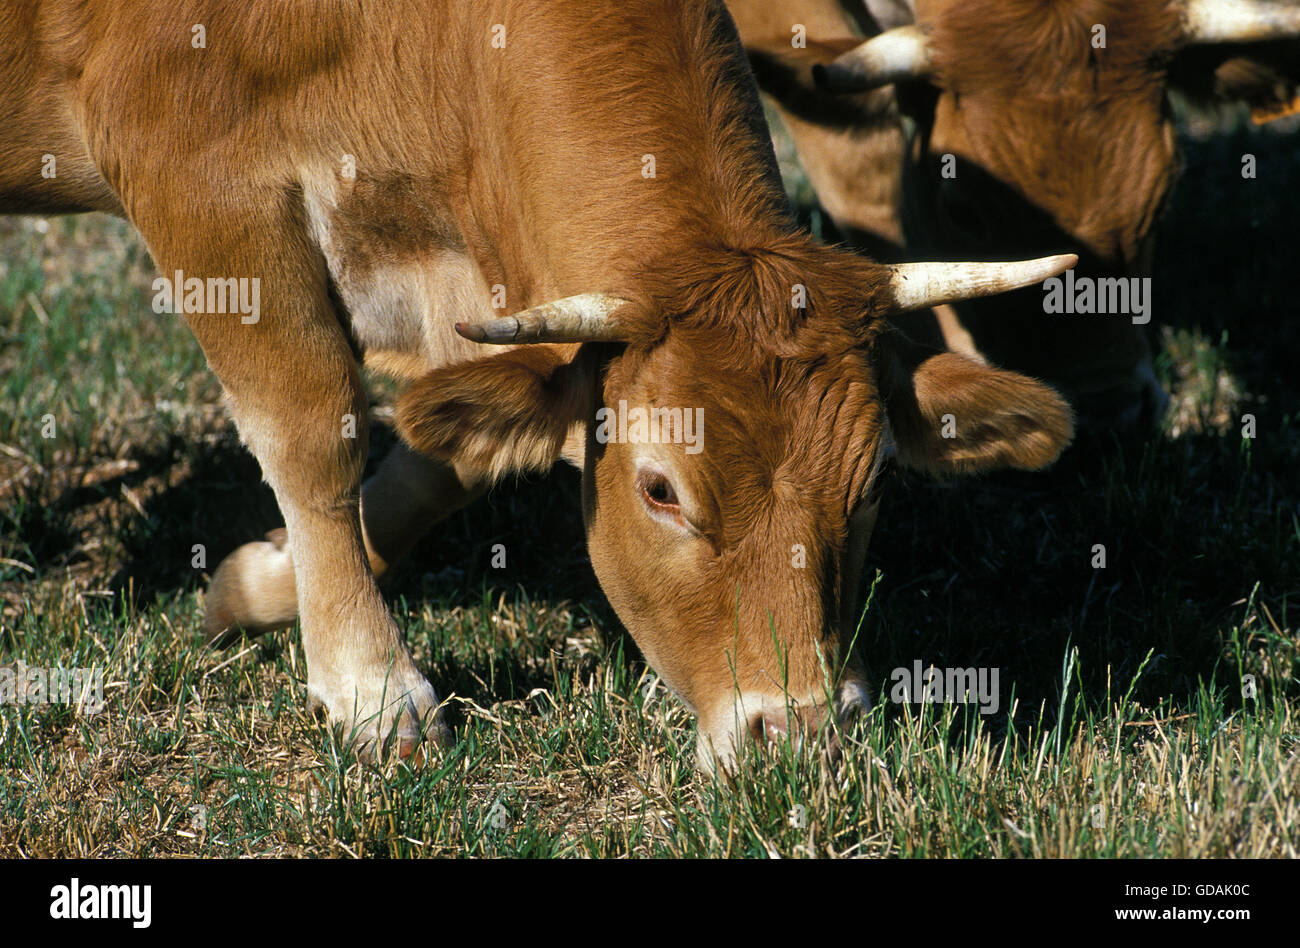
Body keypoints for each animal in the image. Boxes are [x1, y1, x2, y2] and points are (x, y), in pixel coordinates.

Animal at [1, 0, 1078, 769]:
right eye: (659, 490)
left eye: (879, 482)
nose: (800, 733)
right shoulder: (196, 176)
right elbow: (312, 429)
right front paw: (371, 686)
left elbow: (450, 450)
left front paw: (259, 584)